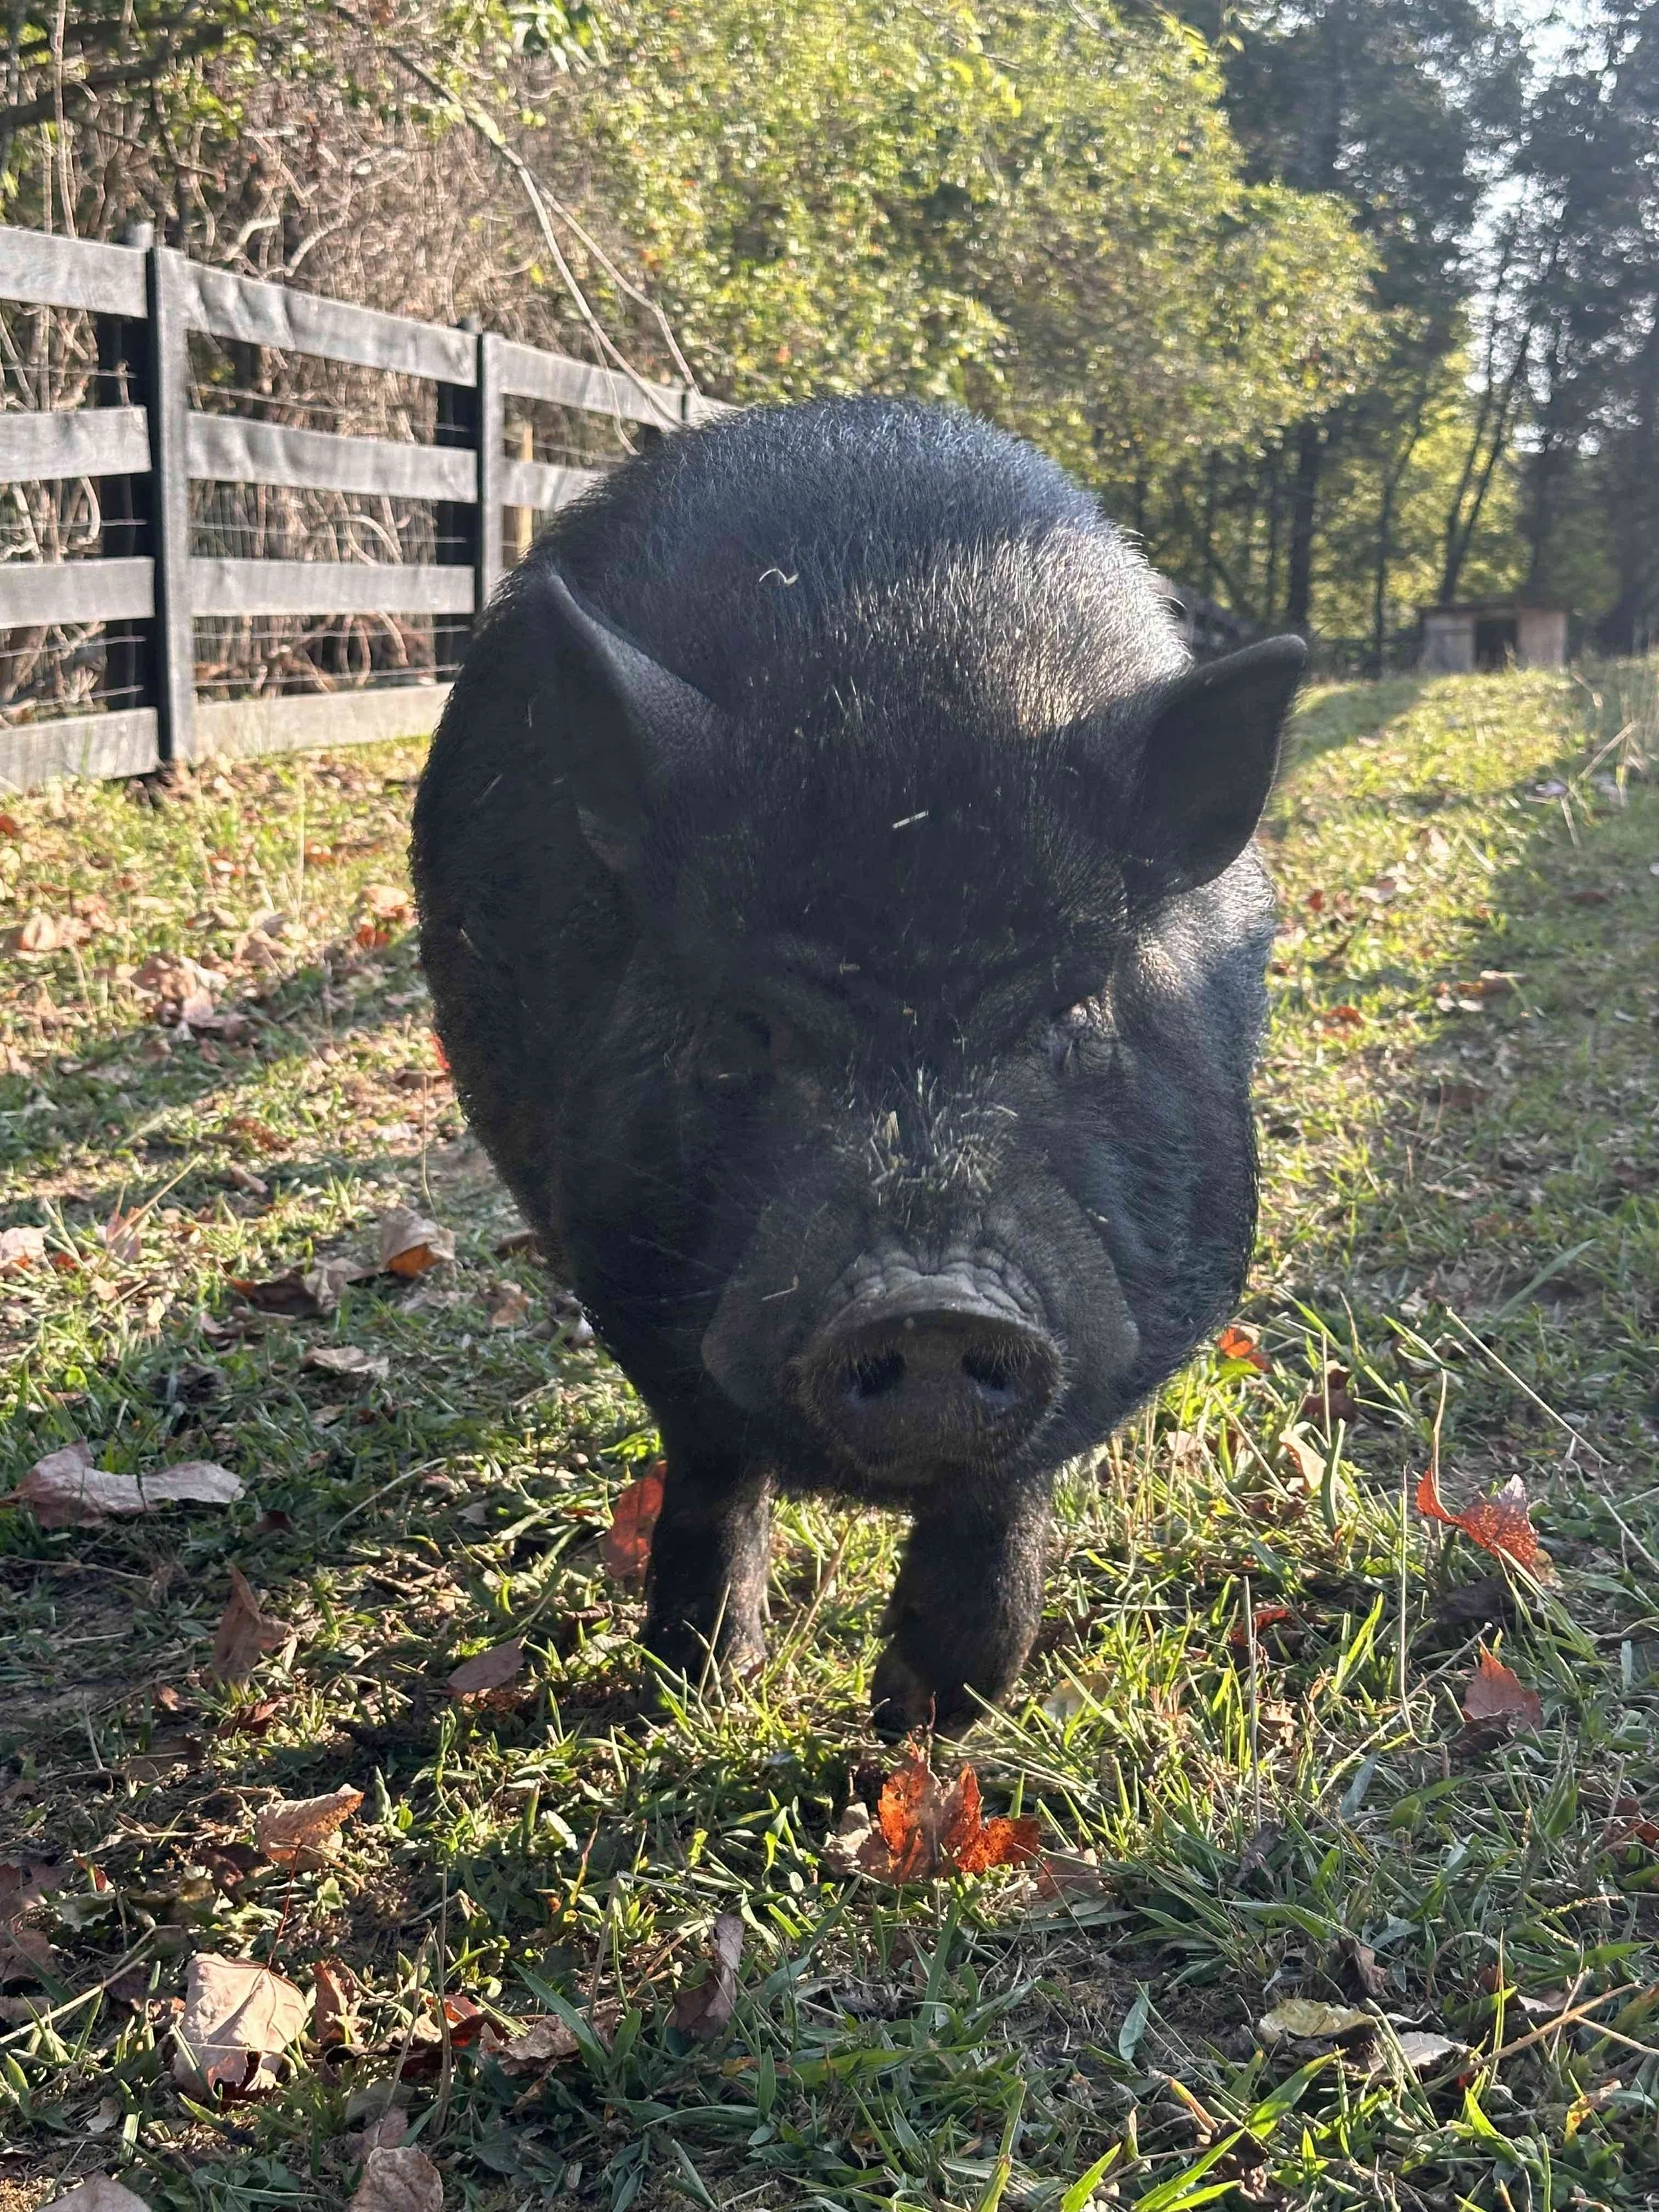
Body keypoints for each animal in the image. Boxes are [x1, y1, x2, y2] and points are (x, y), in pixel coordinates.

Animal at [412, 396, 1304, 1736]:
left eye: (1074, 1006)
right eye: (742, 1028)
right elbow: (713, 1462)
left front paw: (920, 1719)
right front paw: (698, 1686)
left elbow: (1005, 1494)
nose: (929, 1306)